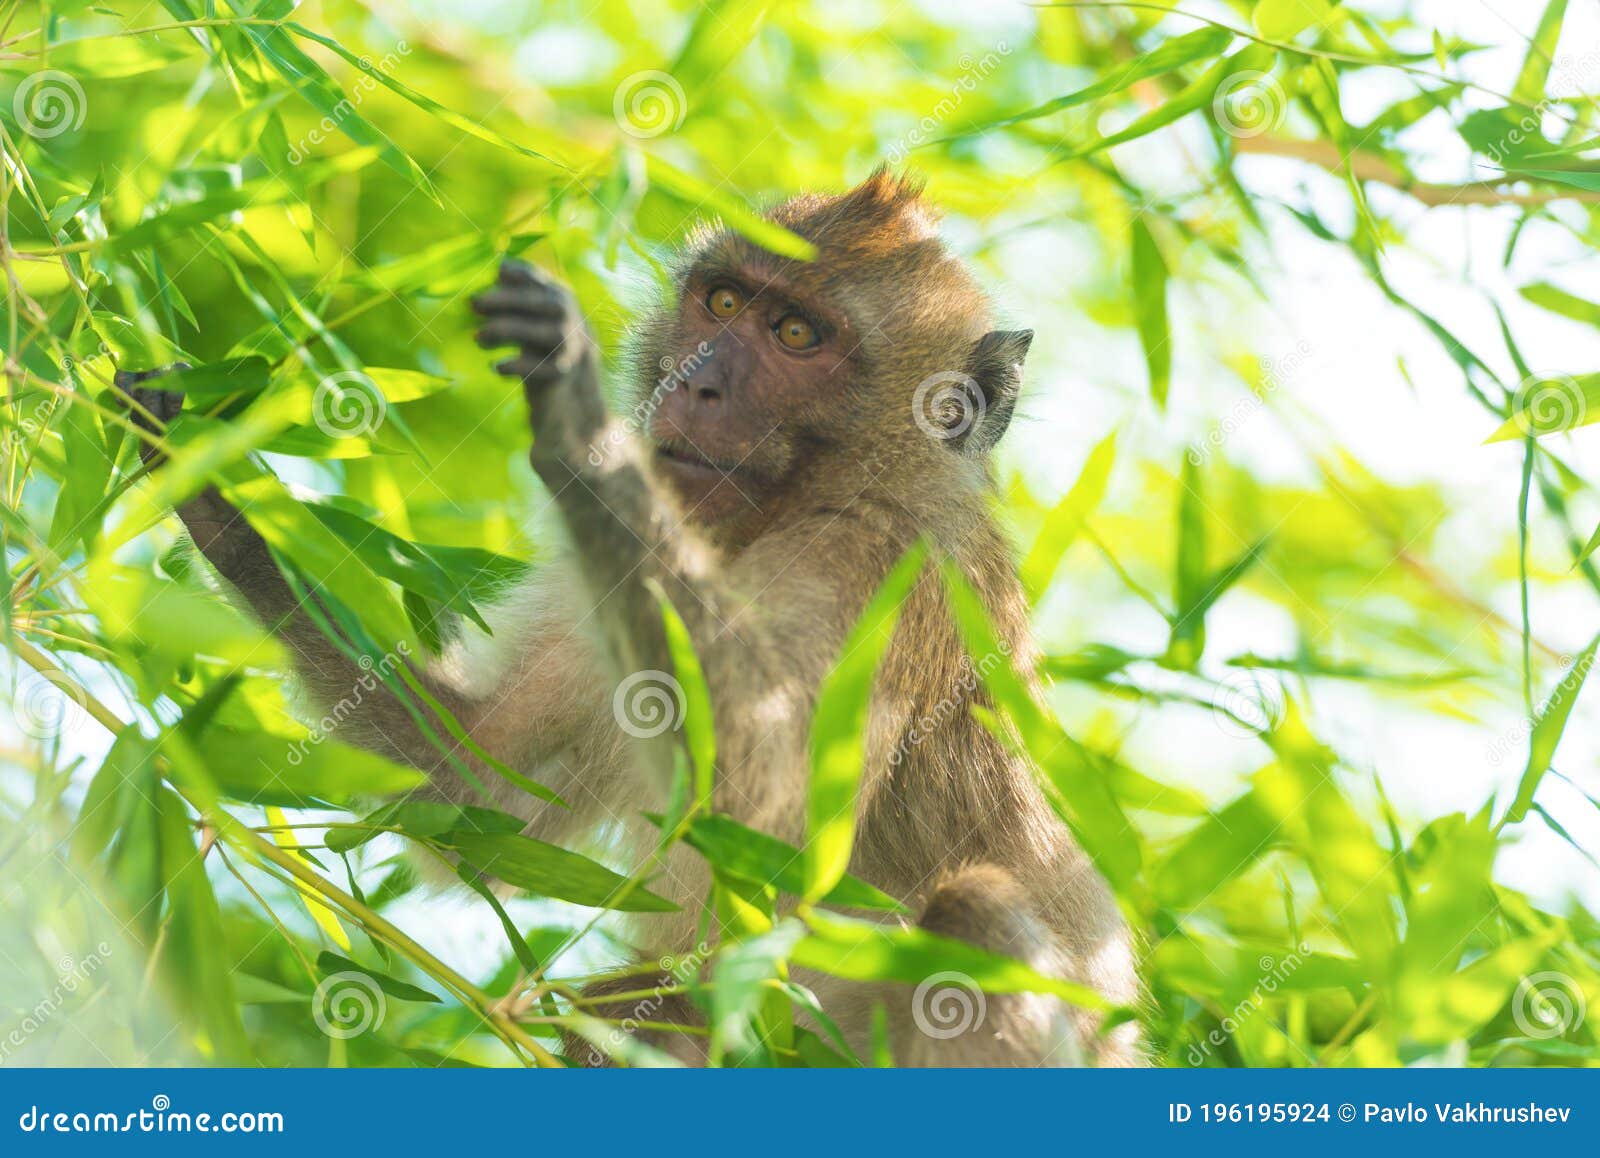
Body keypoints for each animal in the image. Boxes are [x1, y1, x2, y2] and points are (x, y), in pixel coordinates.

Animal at [116, 168, 1140, 1067]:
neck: (801, 503)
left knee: (976, 919)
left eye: (797, 333)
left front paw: (574, 415)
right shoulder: (609, 581)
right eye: (721, 303)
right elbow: (477, 788)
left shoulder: (883, 568)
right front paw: (212, 492)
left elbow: (752, 800)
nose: (695, 382)